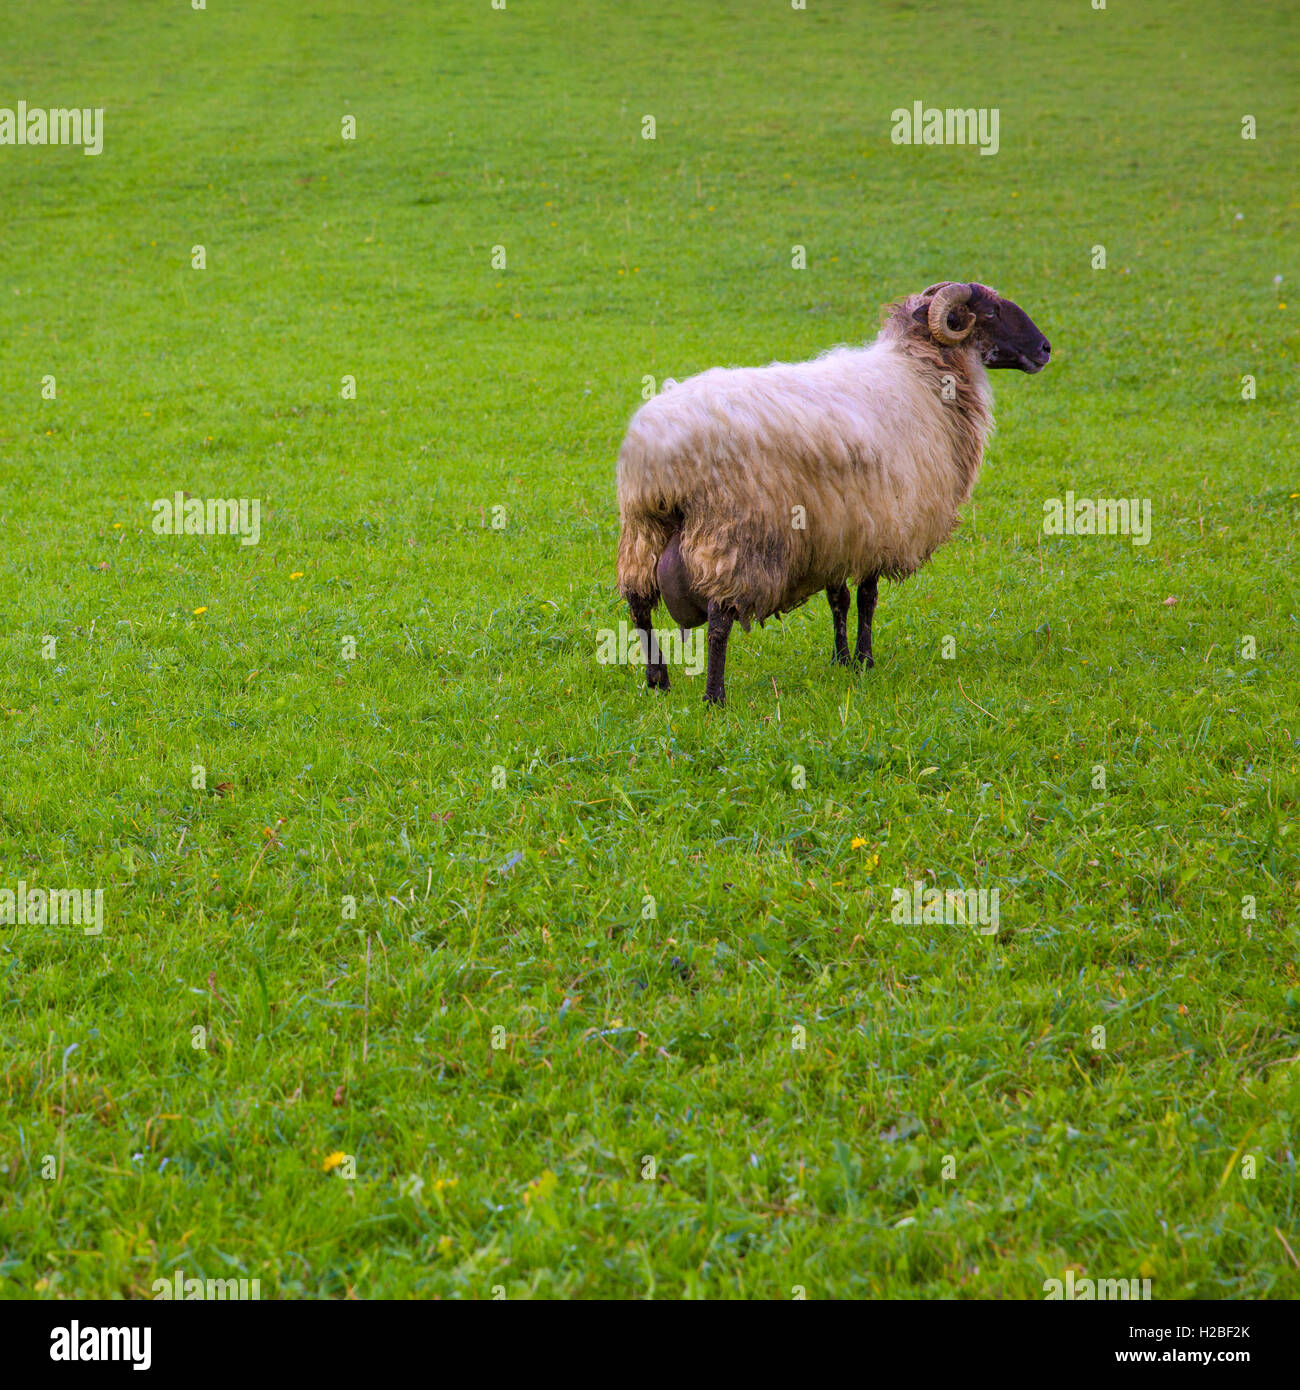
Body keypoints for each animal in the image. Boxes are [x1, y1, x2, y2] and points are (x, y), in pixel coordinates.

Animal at [615, 280, 1051, 705]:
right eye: (991, 311)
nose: (1045, 348)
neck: (922, 376)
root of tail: (658, 450)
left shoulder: (838, 528)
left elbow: (838, 598)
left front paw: (841, 660)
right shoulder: (883, 524)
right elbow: (867, 598)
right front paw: (865, 659)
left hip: (643, 530)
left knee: (639, 607)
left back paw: (658, 681)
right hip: (734, 536)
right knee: (719, 620)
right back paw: (714, 697)